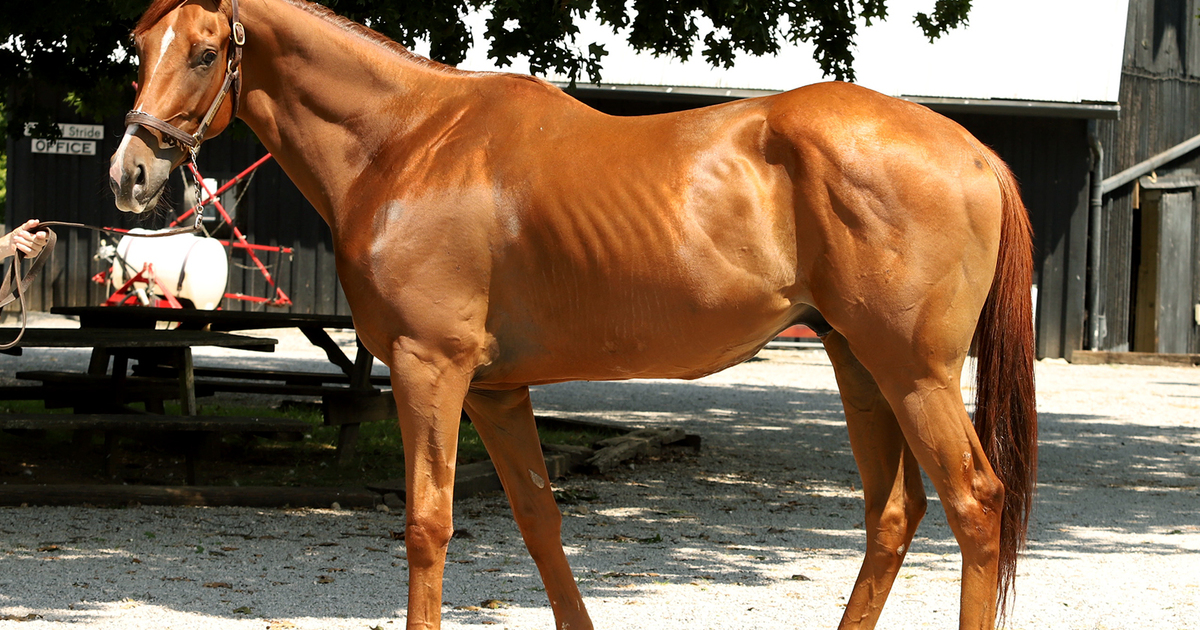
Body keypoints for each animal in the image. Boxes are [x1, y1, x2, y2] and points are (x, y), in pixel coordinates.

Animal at [108, 0, 1037, 628]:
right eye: (138, 49)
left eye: (203, 53)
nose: (129, 175)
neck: (408, 140)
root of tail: (975, 150)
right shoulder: (494, 392)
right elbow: (539, 520)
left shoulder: (429, 369)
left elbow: (427, 524)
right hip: (858, 364)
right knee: (894, 514)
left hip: (912, 373)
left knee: (975, 503)